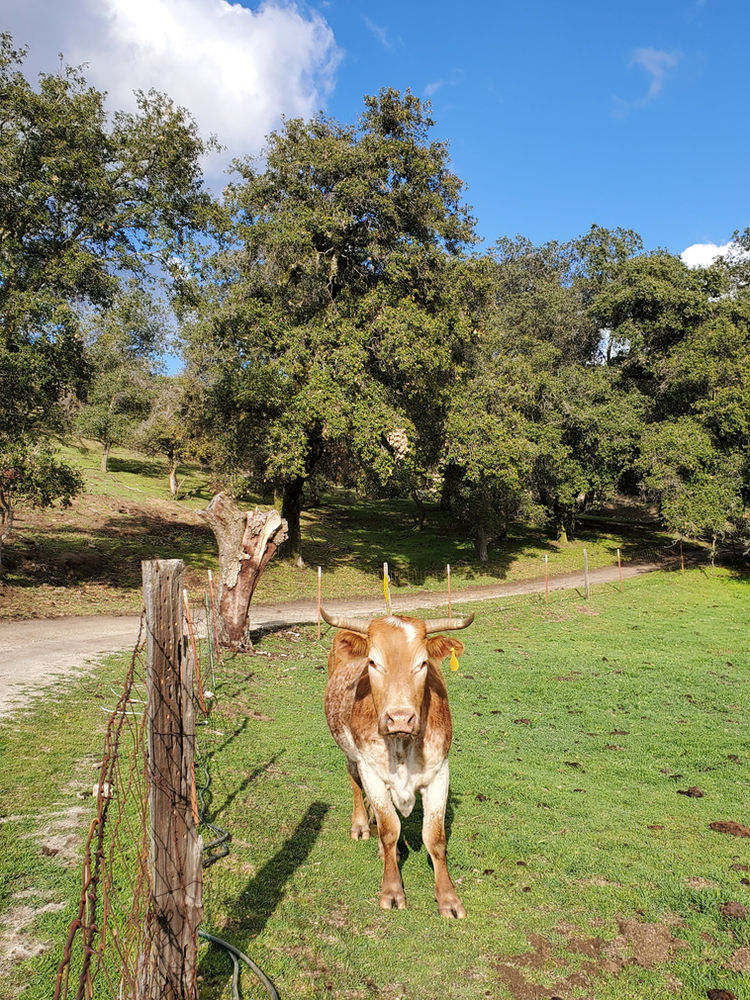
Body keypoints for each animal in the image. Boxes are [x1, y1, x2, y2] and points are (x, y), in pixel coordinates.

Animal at [322, 608, 475, 918]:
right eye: (372, 662)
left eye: (423, 663)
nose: (400, 719)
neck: (403, 746)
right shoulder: (371, 771)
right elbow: (389, 830)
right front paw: (392, 890)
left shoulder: (440, 772)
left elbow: (435, 837)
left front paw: (448, 898)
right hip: (350, 753)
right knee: (354, 781)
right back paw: (361, 825)